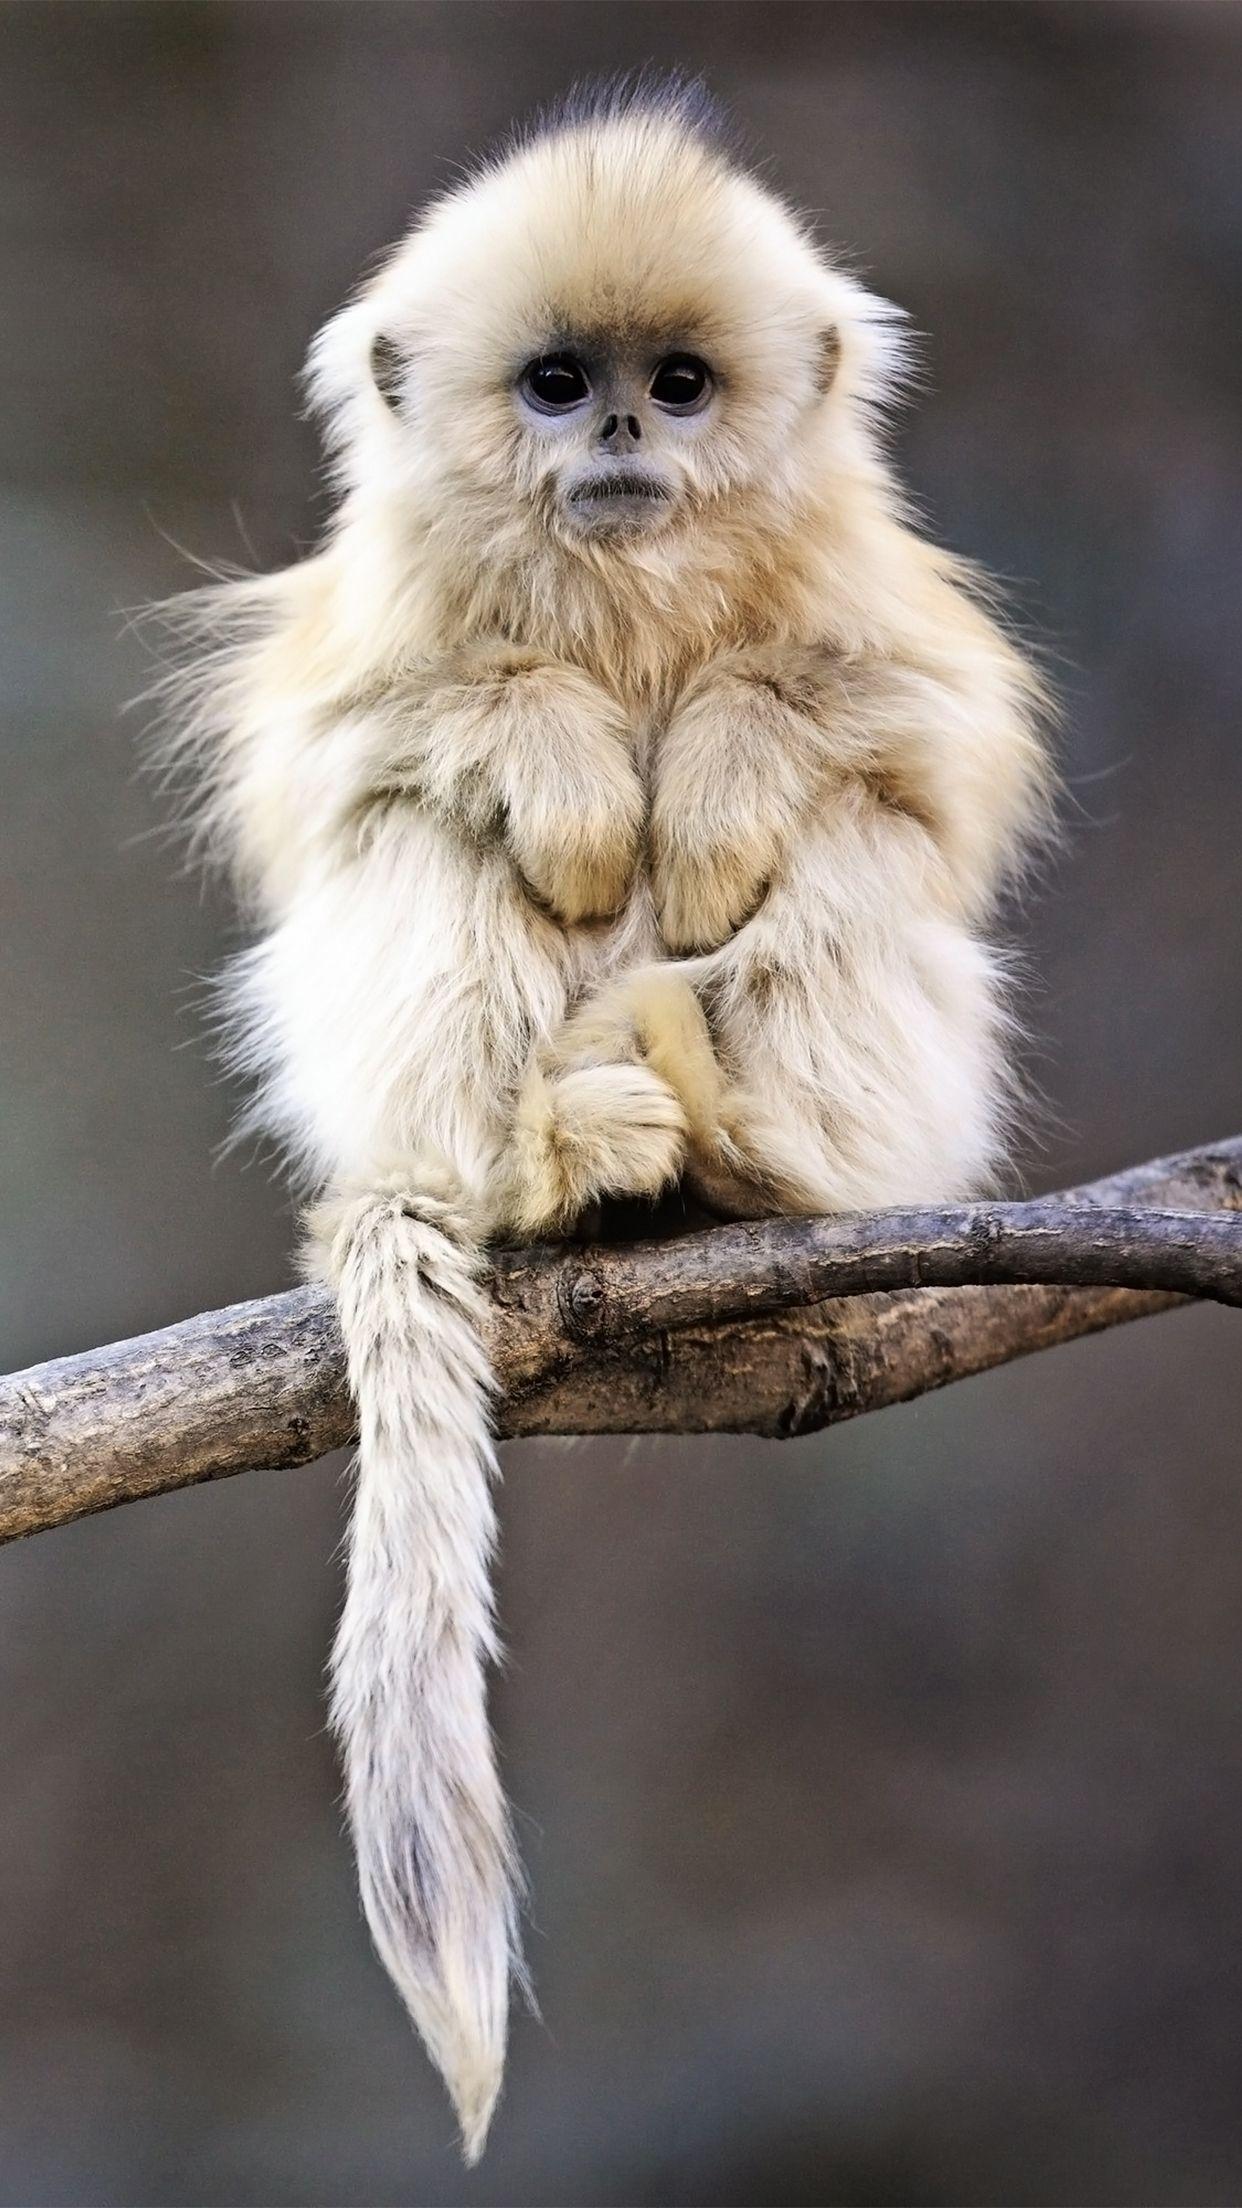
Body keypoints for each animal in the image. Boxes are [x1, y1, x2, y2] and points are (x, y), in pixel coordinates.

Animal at [159, 80, 1049, 2161]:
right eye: (559, 383)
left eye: (681, 382)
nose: (627, 437)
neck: (628, 590)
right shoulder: (371, 634)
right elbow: (355, 756)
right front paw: (568, 766)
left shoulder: (882, 610)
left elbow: (924, 746)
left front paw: (712, 778)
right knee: (420, 836)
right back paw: (553, 1163)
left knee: (853, 838)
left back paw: (735, 1147)